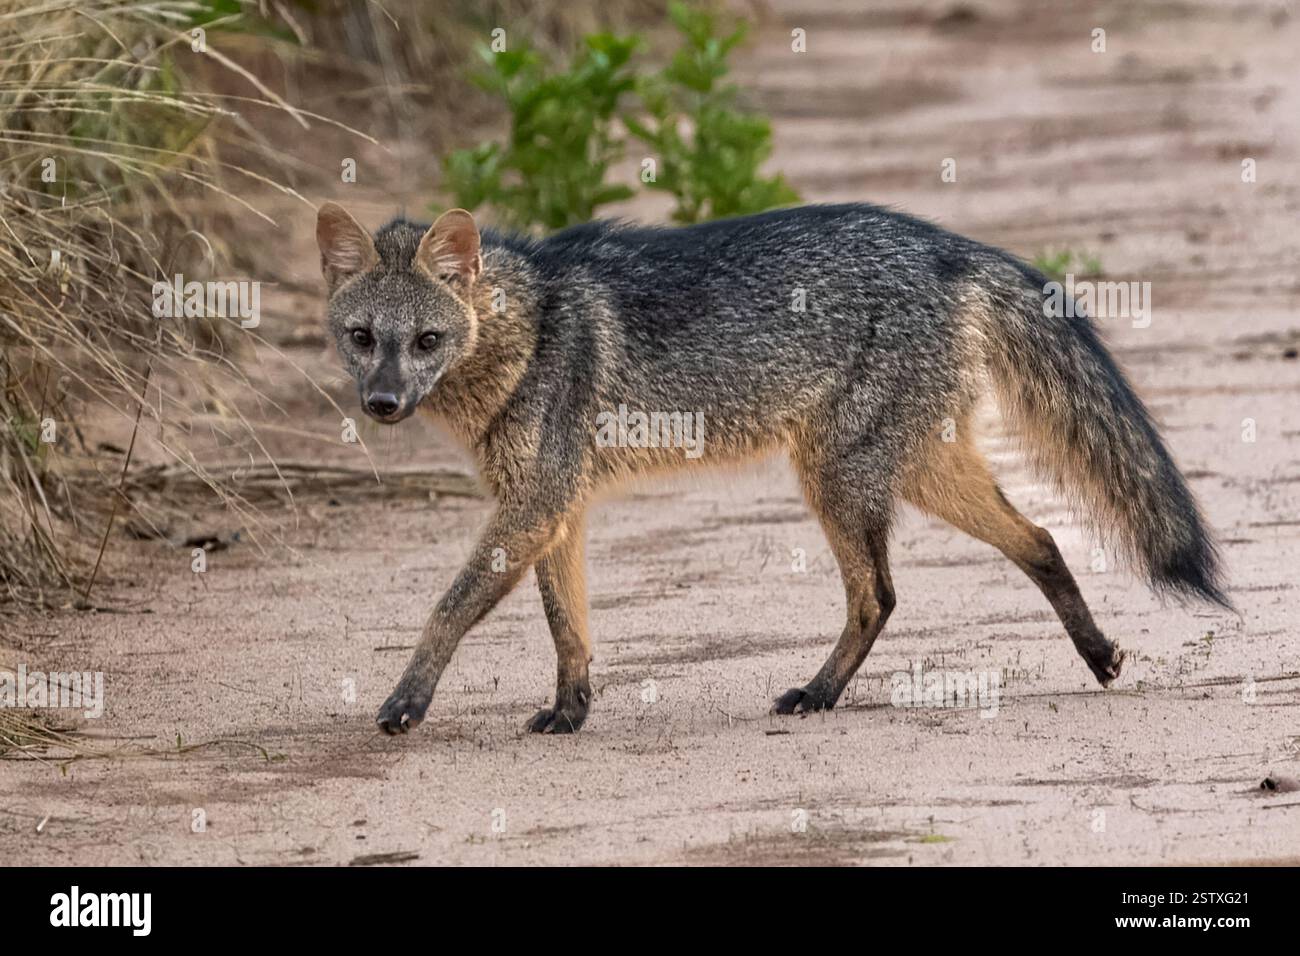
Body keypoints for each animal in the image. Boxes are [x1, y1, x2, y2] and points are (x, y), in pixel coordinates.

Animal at [315, 200, 1229, 736]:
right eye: (362, 338)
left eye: (426, 340)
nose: (383, 404)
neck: (529, 327)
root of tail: (948, 242)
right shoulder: (557, 507)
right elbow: (566, 626)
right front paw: (569, 711)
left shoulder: (535, 501)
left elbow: (449, 606)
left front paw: (405, 702)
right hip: (920, 469)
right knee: (1039, 538)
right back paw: (1098, 654)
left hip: (838, 475)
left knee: (880, 594)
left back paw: (818, 696)